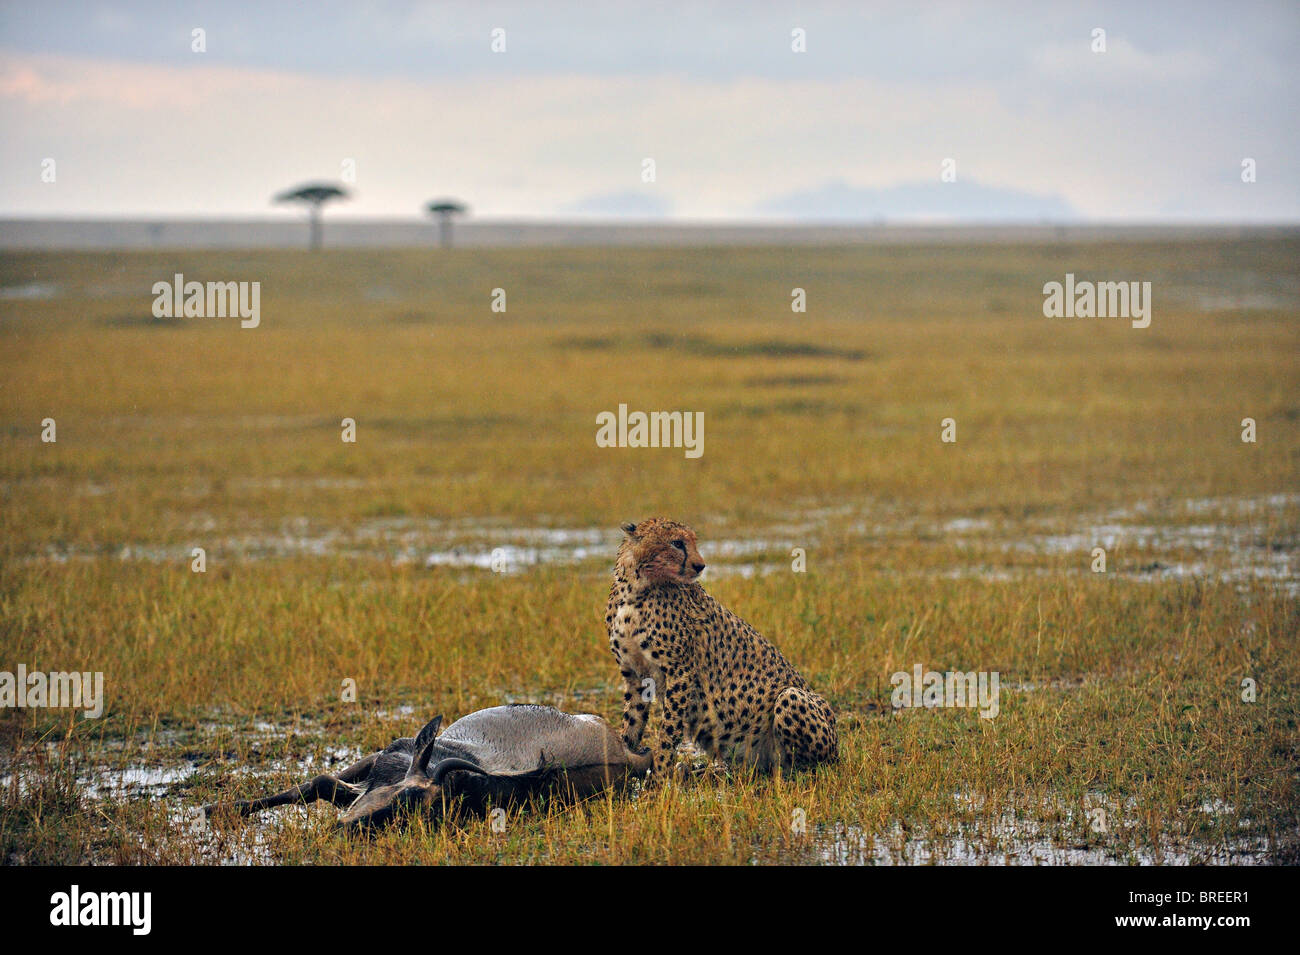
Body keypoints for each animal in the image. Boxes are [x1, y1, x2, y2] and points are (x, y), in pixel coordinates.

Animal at [605, 517, 838, 774]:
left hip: (792, 696)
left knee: (802, 766)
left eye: (692, 542)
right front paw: (626, 757)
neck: (636, 589)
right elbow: (632, 720)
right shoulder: (635, 674)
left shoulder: (680, 674)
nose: (700, 566)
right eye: (677, 543)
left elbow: (668, 731)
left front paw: (659, 776)